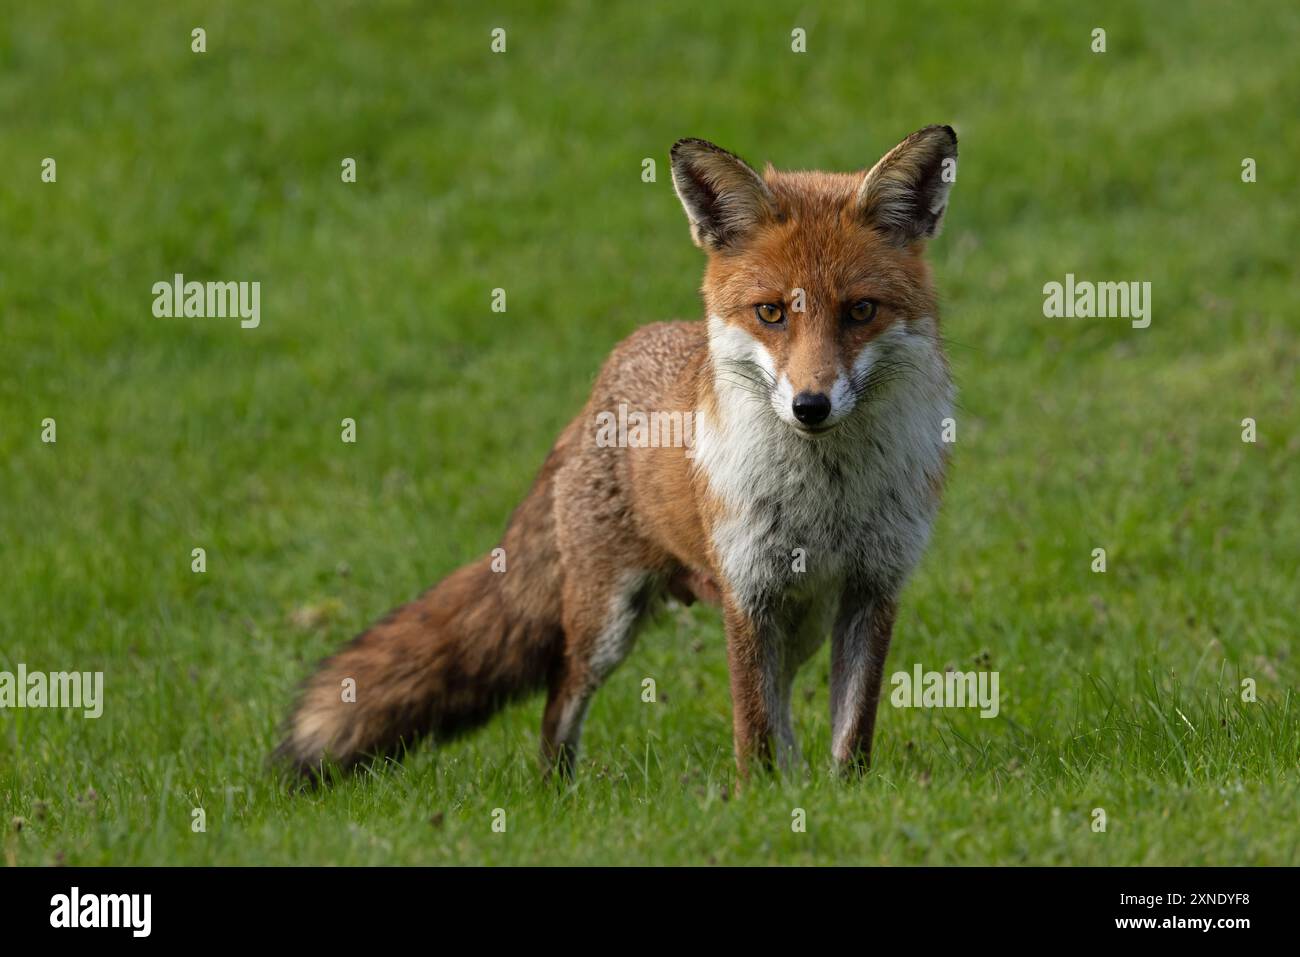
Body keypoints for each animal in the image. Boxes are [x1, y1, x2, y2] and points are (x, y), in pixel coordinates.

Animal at [276, 124, 959, 781]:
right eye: (770, 313)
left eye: (860, 310)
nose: (810, 406)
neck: (827, 496)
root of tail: (602, 382)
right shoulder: (748, 591)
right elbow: (754, 732)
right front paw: (760, 800)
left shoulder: (872, 587)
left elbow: (849, 736)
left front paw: (841, 799)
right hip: (607, 621)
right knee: (559, 701)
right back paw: (558, 795)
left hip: (803, 622)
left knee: (786, 705)